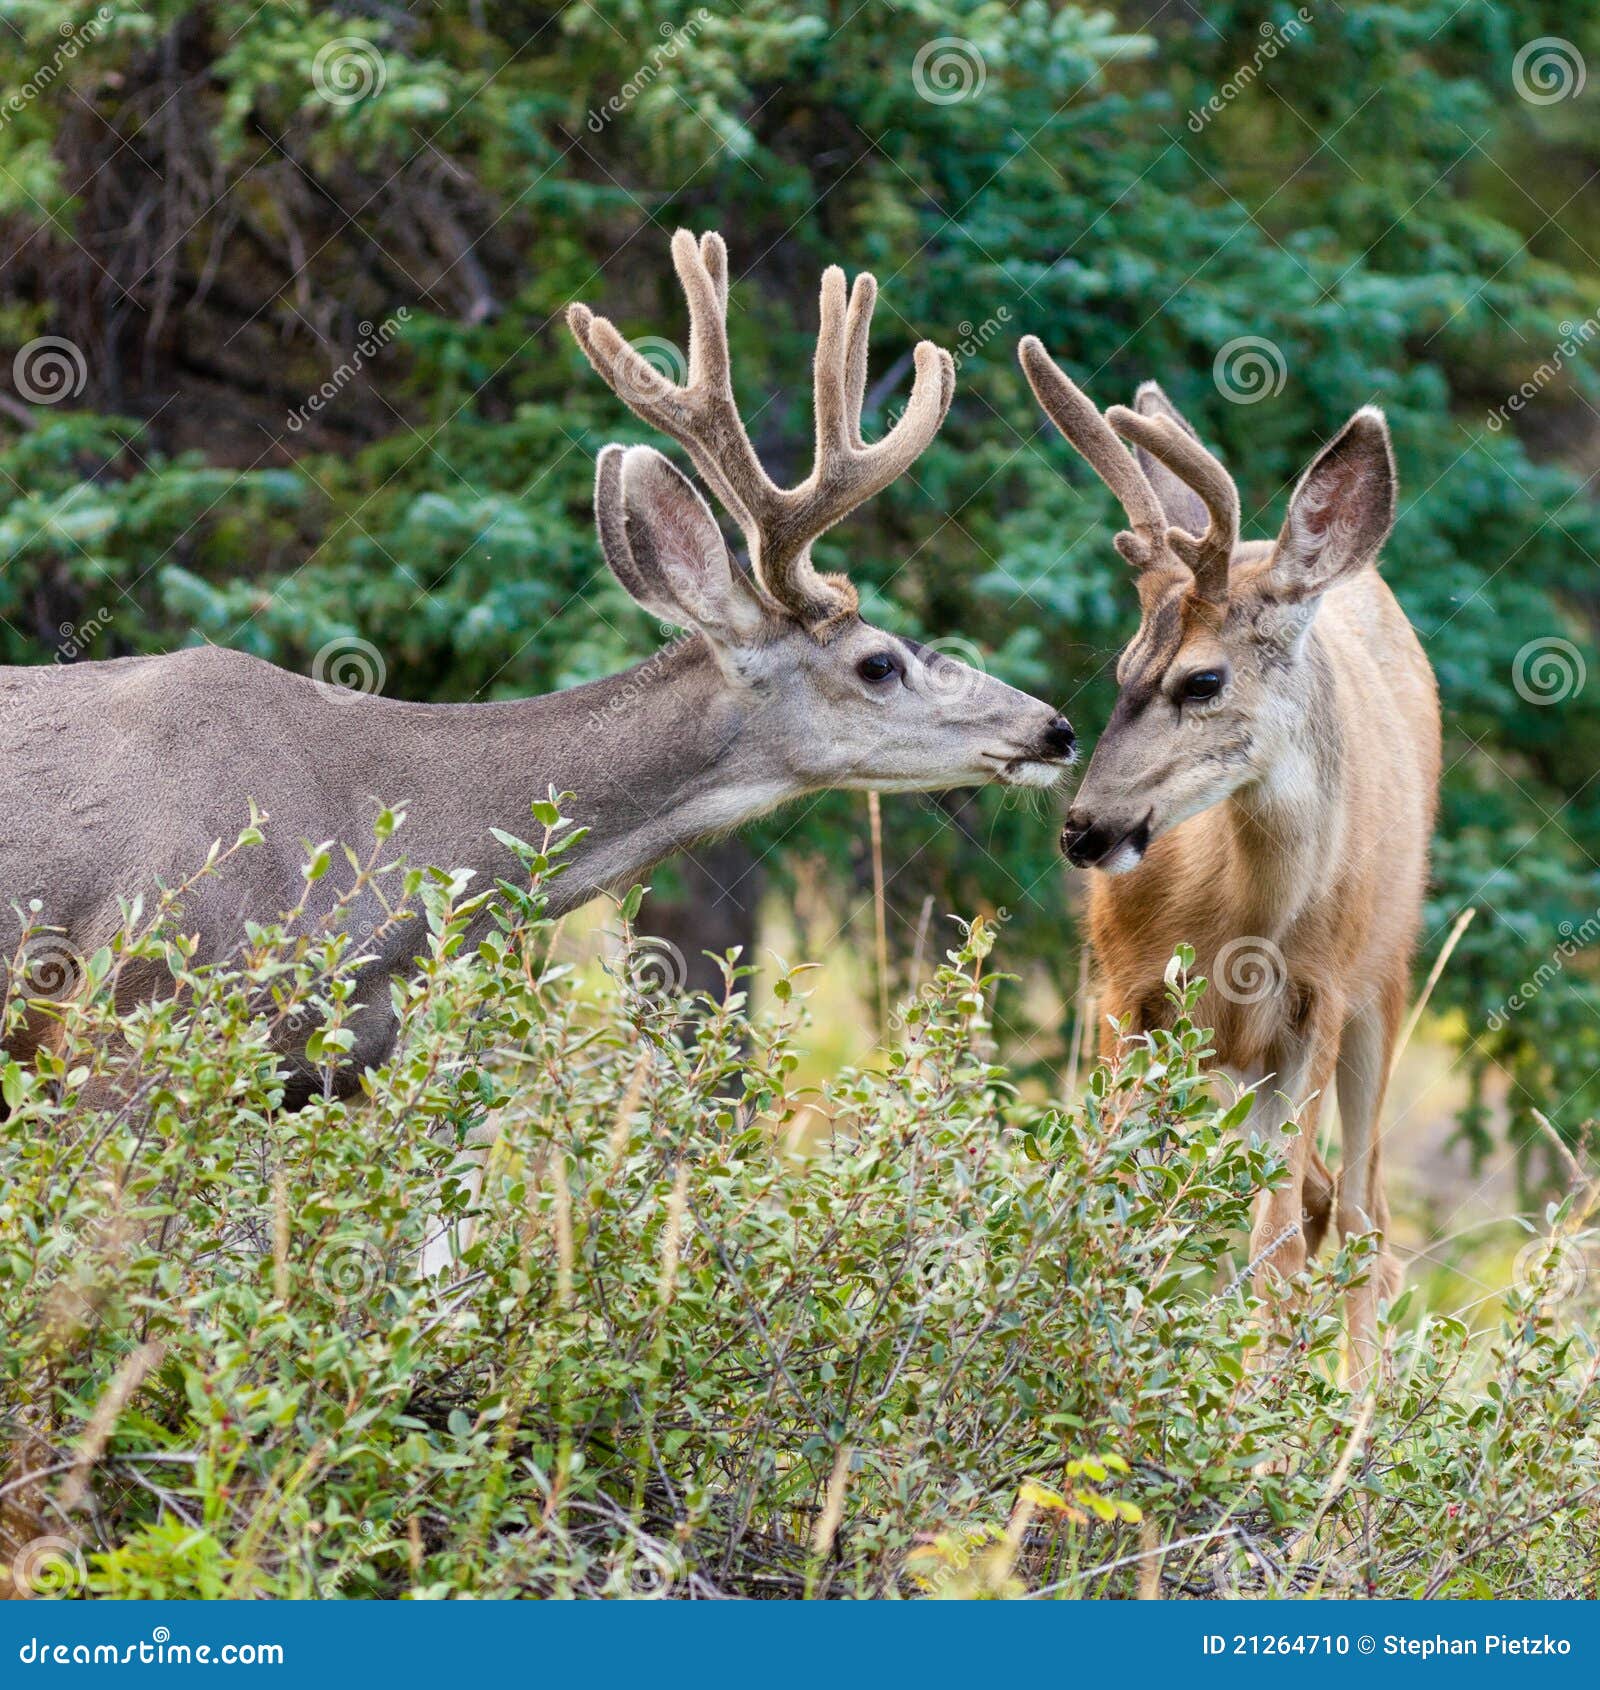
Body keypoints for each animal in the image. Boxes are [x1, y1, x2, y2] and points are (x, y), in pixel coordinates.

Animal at [1018, 337, 1440, 1386]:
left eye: (1202, 680)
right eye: (1121, 670)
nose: (1084, 830)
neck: (1244, 919)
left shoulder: (1316, 1004)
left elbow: (1276, 1251)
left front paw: (1262, 1416)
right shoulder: (1126, 992)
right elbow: (1113, 1207)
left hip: (1384, 987)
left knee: (1365, 1221)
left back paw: (1354, 1409)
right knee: (1329, 1204)